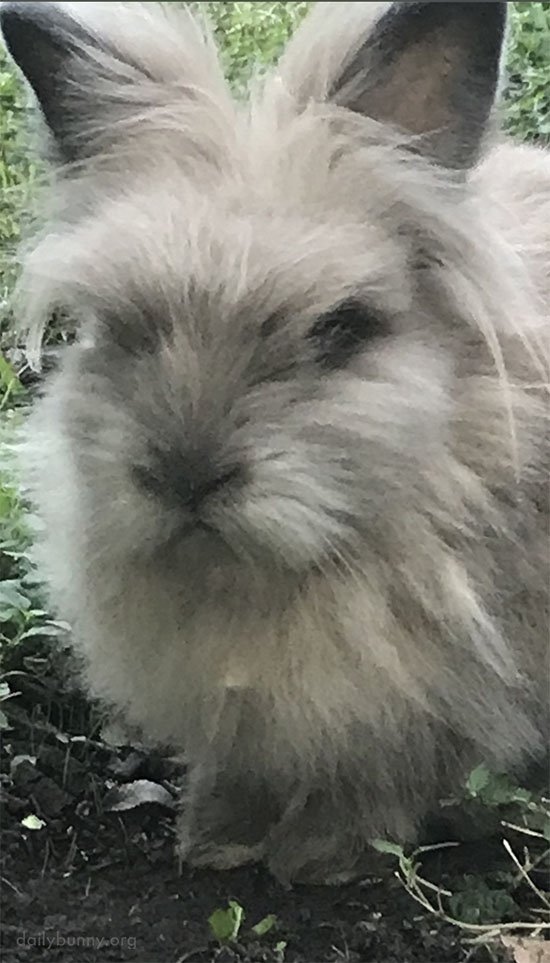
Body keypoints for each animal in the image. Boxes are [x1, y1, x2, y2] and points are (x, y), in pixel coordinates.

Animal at [2, 0, 549, 885]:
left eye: (343, 329)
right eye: (121, 328)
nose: (185, 475)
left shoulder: (426, 696)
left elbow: (382, 772)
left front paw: (318, 858)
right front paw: (214, 842)